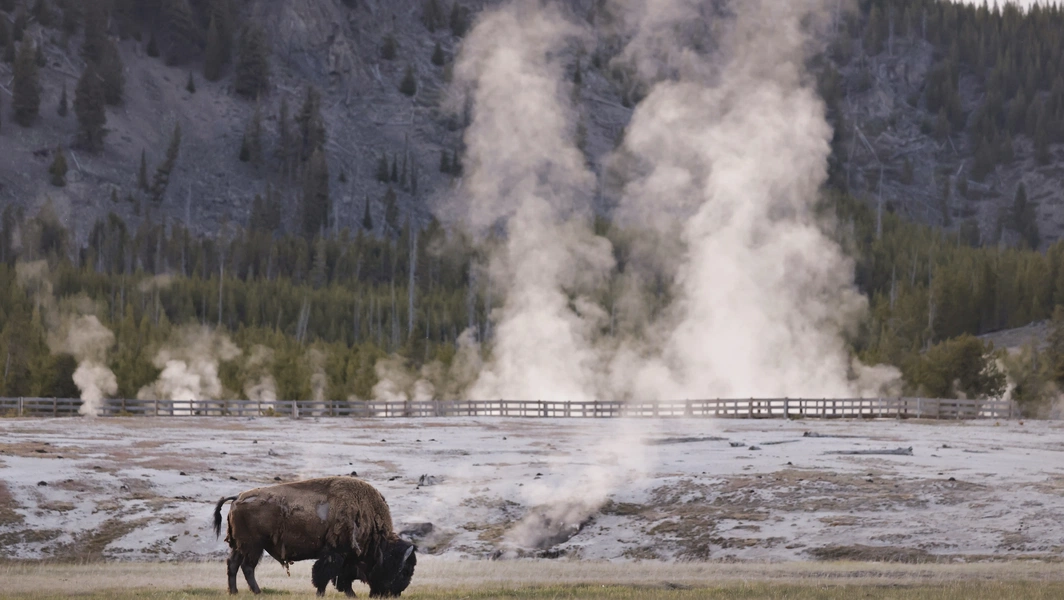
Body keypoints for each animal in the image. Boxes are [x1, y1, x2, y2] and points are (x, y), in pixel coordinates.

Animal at [214, 476, 416, 597]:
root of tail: (238, 497)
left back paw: (234, 592)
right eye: (404, 571)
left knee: (233, 564)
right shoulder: (336, 553)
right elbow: (325, 575)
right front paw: (321, 593)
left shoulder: (345, 558)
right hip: (254, 546)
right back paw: (257, 592)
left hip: (239, 546)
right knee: (247, 567)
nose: (395, 594)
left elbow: (342, 579)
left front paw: (350, 595)